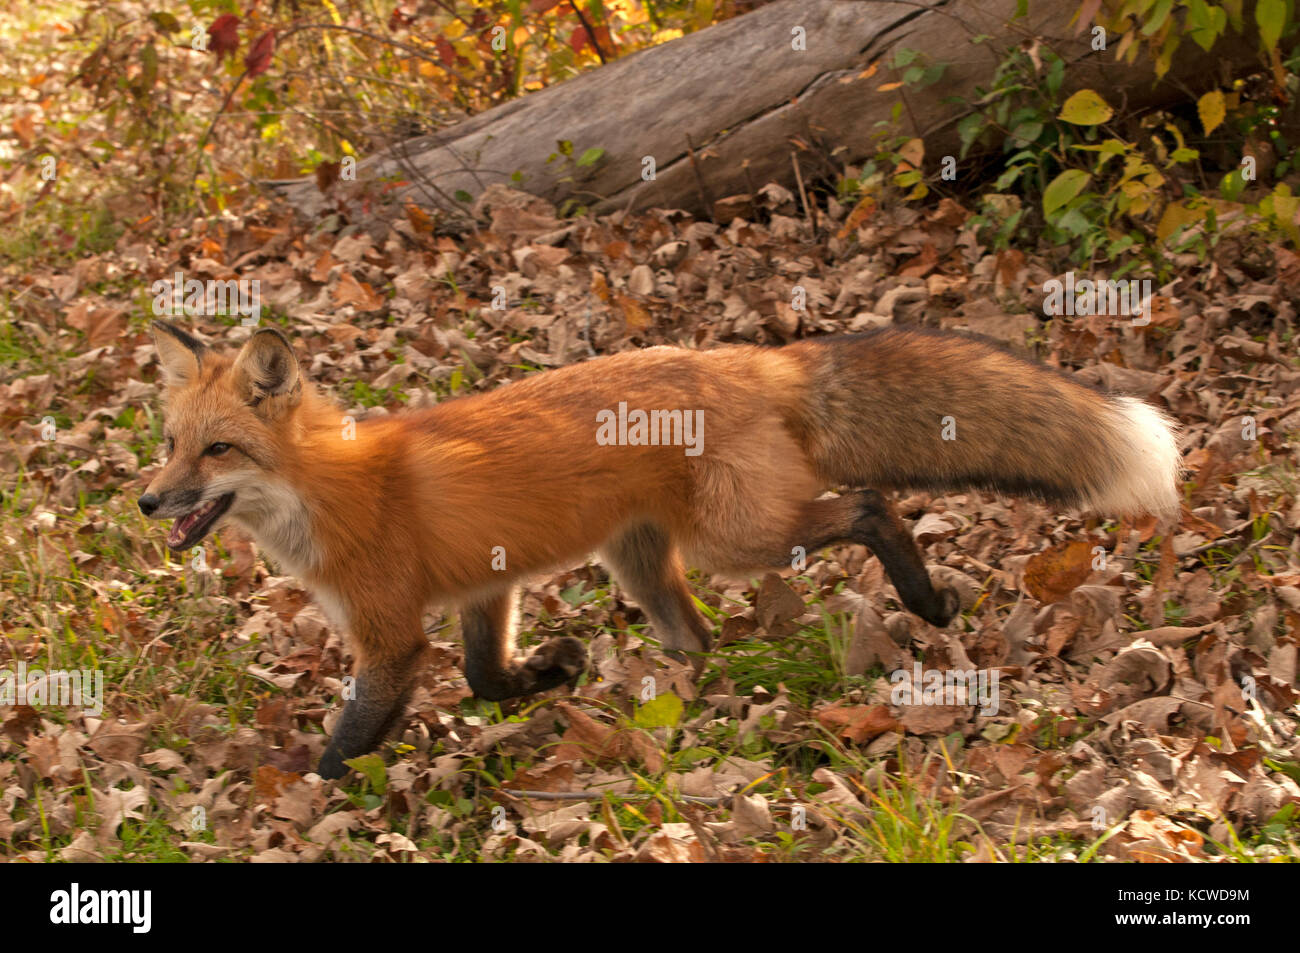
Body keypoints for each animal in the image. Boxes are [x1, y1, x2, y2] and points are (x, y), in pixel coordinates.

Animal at [140, 320, 1181, 779]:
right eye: (169, 442)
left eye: (217, 451)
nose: (148, 500)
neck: (334, 490)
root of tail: (748, 357)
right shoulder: (484, 589)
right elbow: (485, 678)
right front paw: (555, 671)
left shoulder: (391, 637)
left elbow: (347, 741)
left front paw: (301, 791)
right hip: (641, 565)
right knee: (701, 640)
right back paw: (682, 710)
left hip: (738, 538)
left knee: (873, 505)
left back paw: (923, 601)